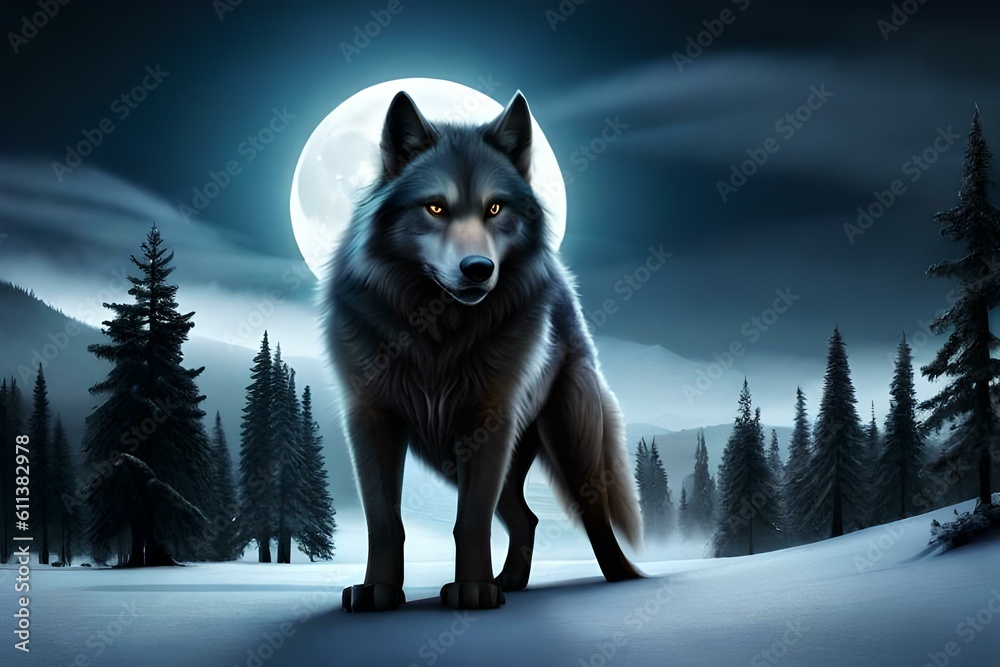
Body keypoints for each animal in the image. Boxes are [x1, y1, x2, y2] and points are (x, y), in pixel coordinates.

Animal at [325, 89, 642, 612]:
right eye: (435, 208)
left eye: (495, 208)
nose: (478, 268)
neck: (436, 334)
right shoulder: (372, 418)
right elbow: (385, 522)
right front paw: (378, 591)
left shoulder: (486, 421)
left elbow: (469, 521)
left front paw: (473, 590)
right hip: (458, 460)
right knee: (525, 517)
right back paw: (511, 580)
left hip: (568, 445)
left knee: (595, 515)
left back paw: (624, 577)